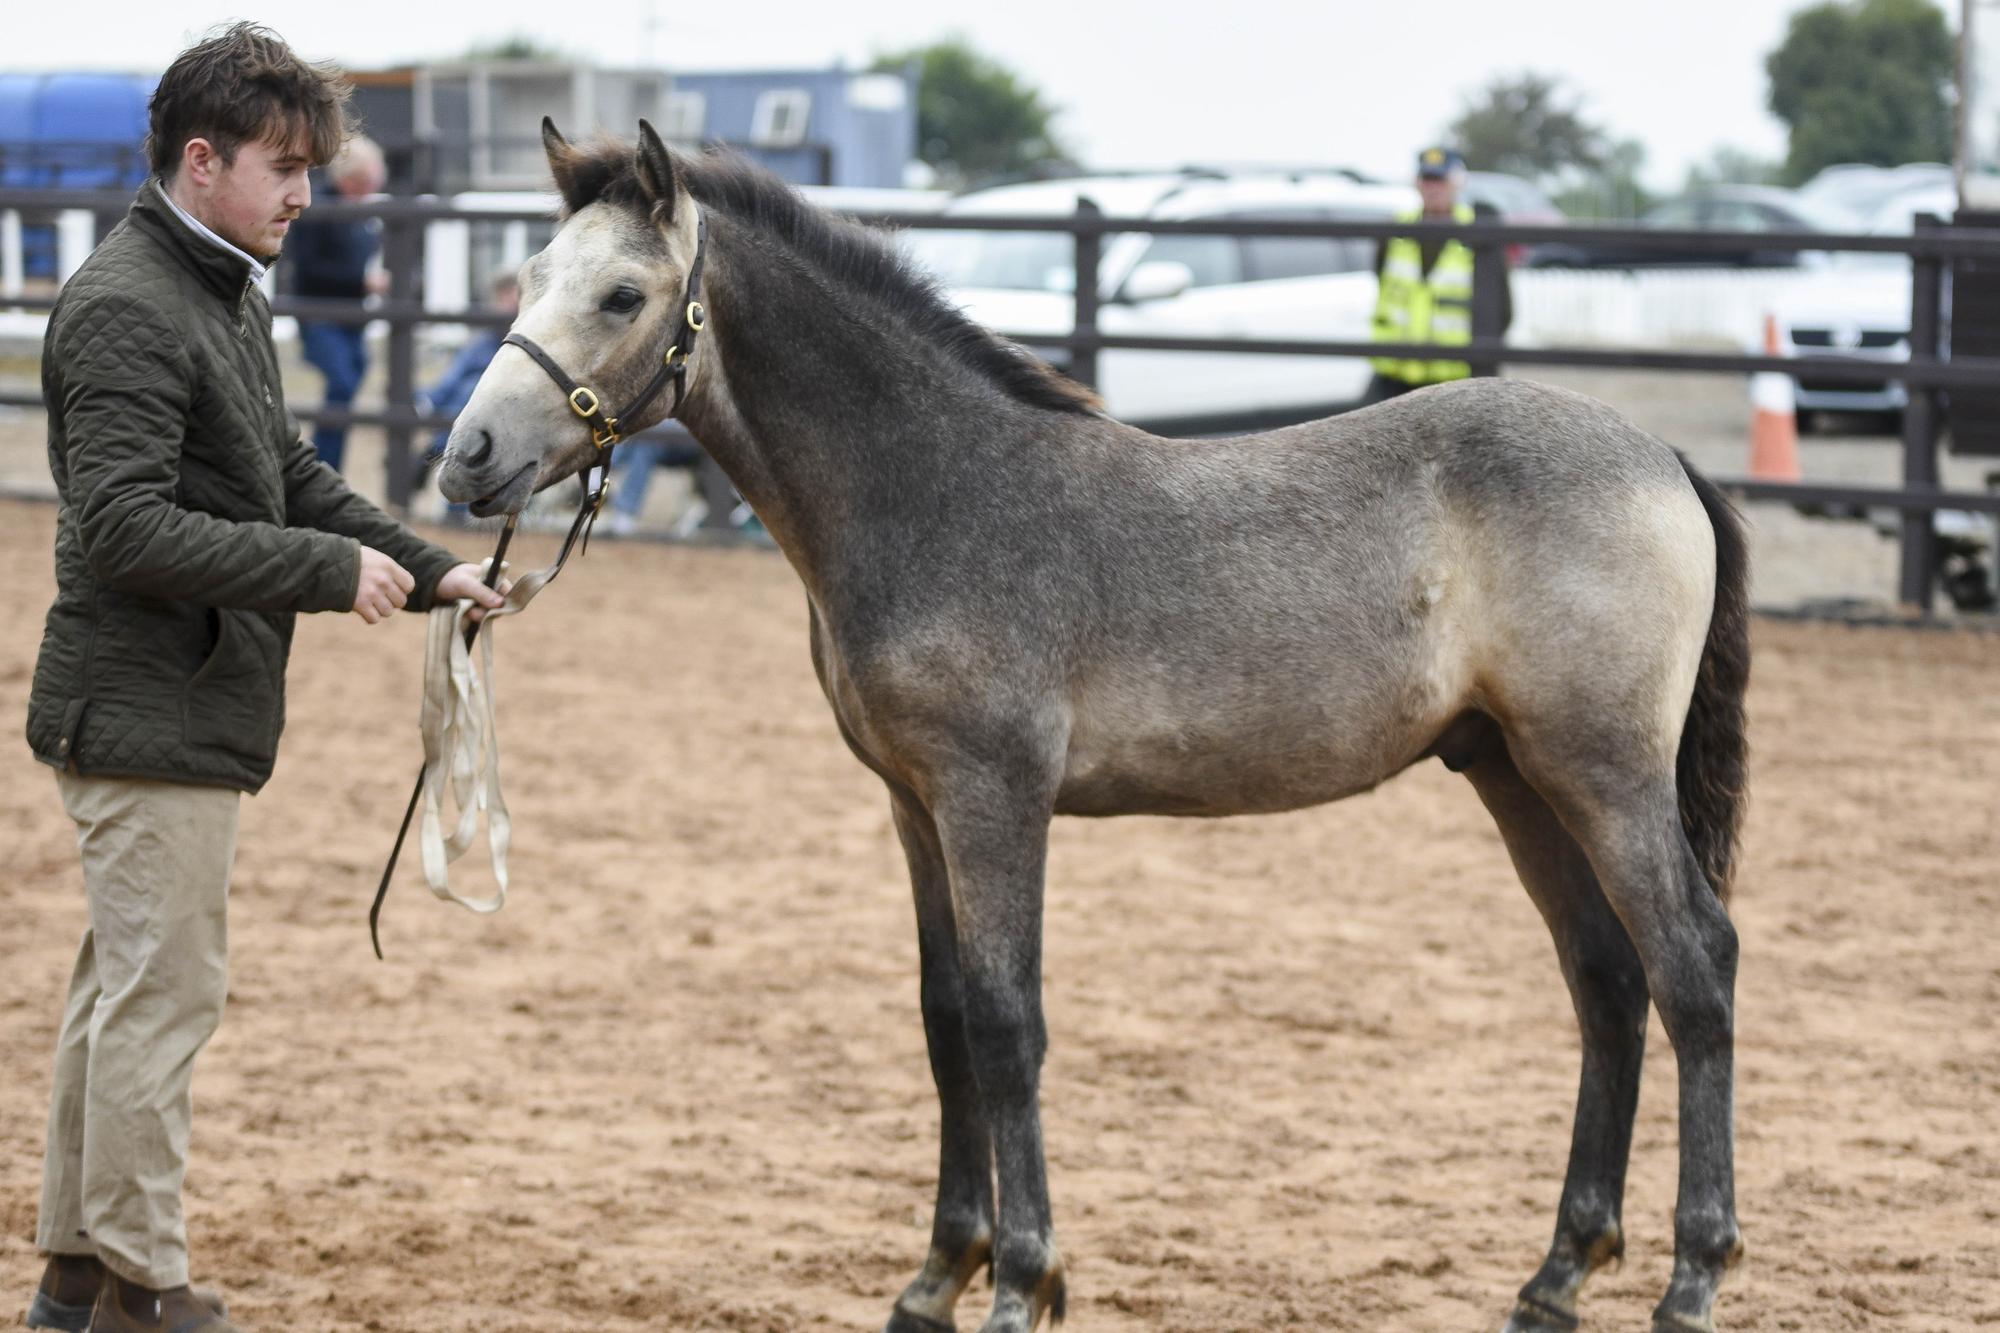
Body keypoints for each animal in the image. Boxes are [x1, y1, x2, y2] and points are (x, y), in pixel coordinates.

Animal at [438, 120, 1751, 1333]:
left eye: (622, 293)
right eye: (528, 272)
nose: (467, 459)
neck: (938, 490)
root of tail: (1661, 456)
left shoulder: (995, 797)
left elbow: (1007, 1023)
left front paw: (1021, 1281)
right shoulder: (913, 804)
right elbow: (945, 1020)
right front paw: (934, 1279)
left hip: (1601, 771)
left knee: (1691, 966)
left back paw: (1691, 1276)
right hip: (1514, 773)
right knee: (1603, 978)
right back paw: (1555, 1274)